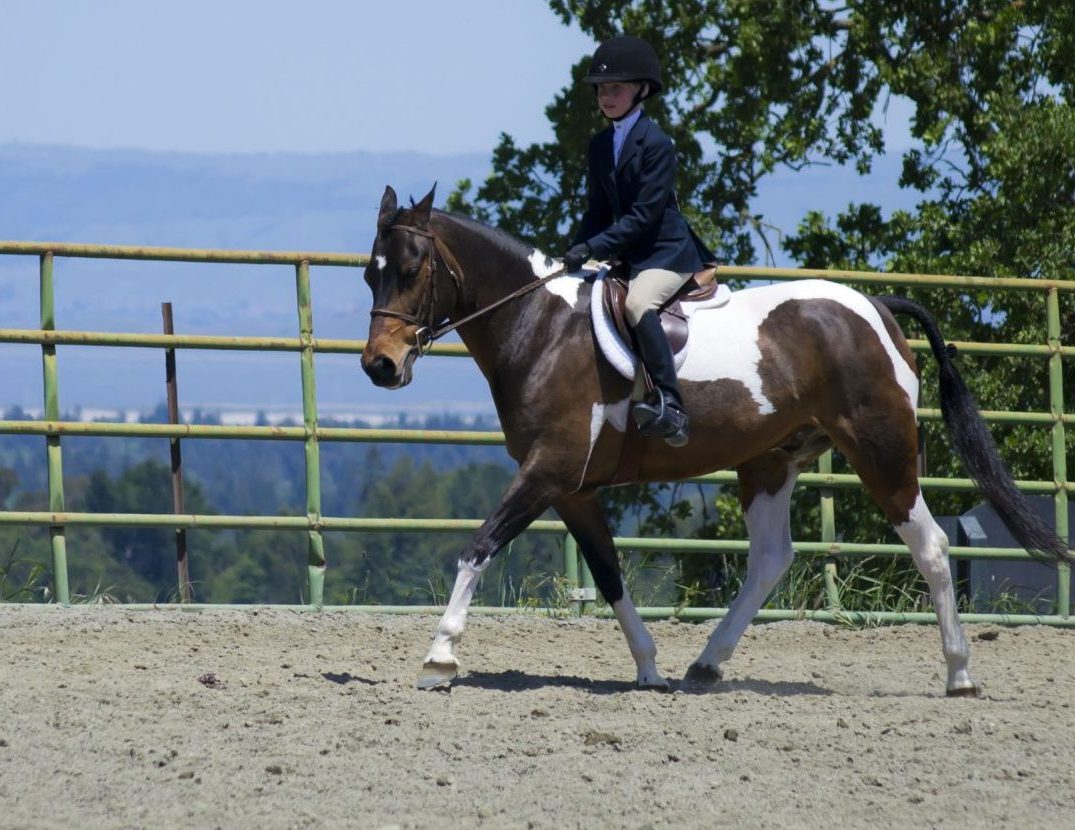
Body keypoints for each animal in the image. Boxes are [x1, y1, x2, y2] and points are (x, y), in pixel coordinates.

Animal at [360, 184, 1072, 695]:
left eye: (414, 269)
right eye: (371, 275)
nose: (379, 367)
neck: (540, 327)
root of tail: (876, 308)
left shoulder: (548, 471)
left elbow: (477, 549)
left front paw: (439, 657)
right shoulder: (573, 488)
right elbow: (609, 572)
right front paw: (649, 669)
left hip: (882, 450)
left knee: (930, 546)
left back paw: (959, 675)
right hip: (770, 462)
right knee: (771, 559)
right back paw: (704, 666)